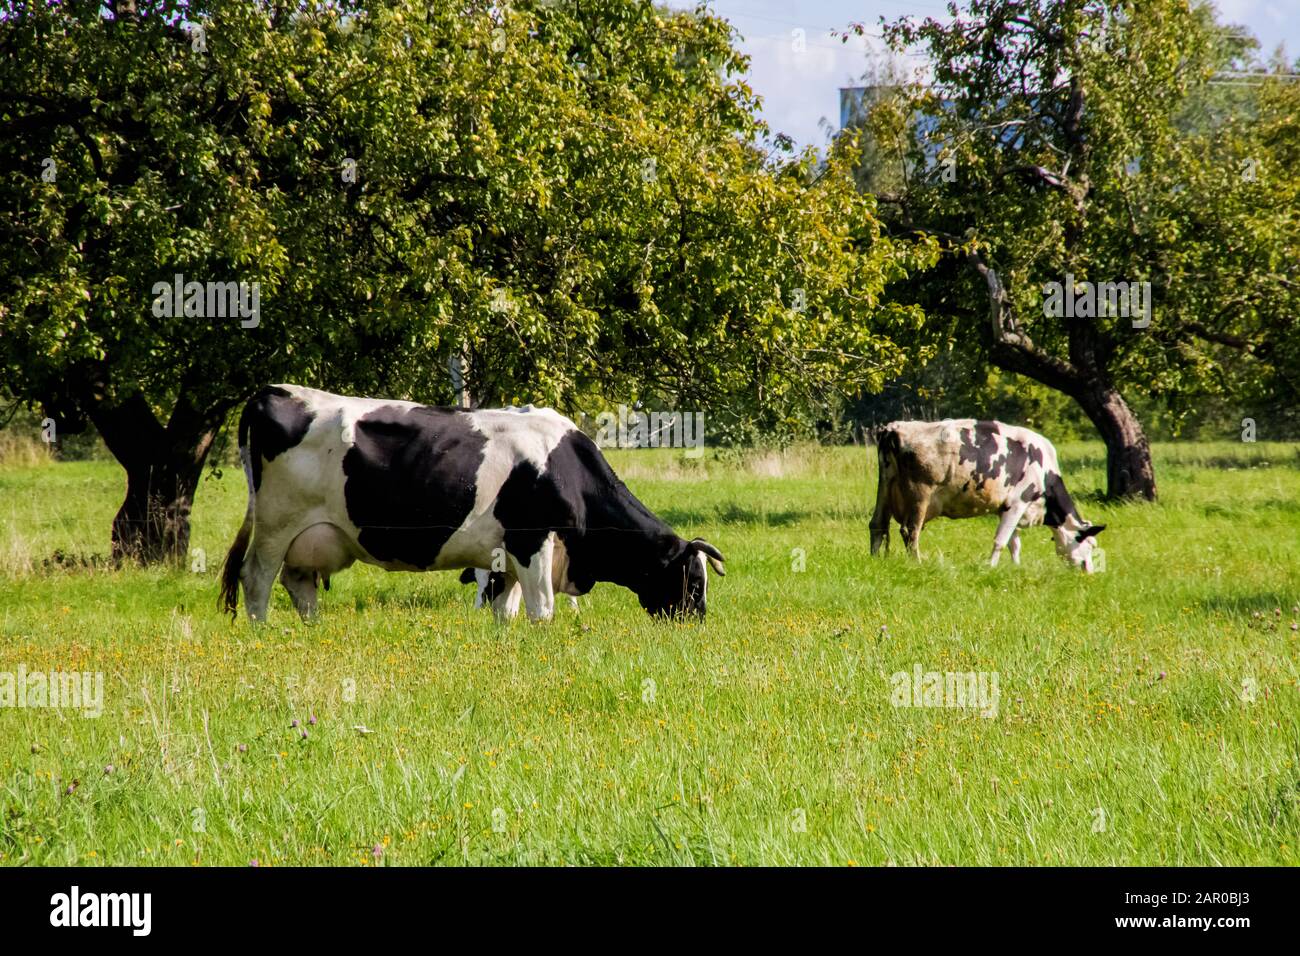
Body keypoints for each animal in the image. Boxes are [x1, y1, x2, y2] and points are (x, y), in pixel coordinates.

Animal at [219, 385, 725, 622]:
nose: (697, 625)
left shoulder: (504, 558)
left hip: (311, 536)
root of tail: (274, 391)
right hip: (275, 524)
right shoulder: (532, 542)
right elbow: (542, 610)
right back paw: (263, 633)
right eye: (694, 582)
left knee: (298, 584)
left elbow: (506, 611)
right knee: (256, 580)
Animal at [869, 419, 1105, 571]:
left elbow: (1014, 543)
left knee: (877, 524)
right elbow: (1001, 540)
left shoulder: (1006, 508)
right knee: (910, 530)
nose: (1088, 571)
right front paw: (990, 567)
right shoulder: (1019, 502)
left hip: (885, 485)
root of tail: (894, 428)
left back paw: (874, 559)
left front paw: (1015, 567)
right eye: (1091, 544)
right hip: (920, 493)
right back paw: (917, 563)